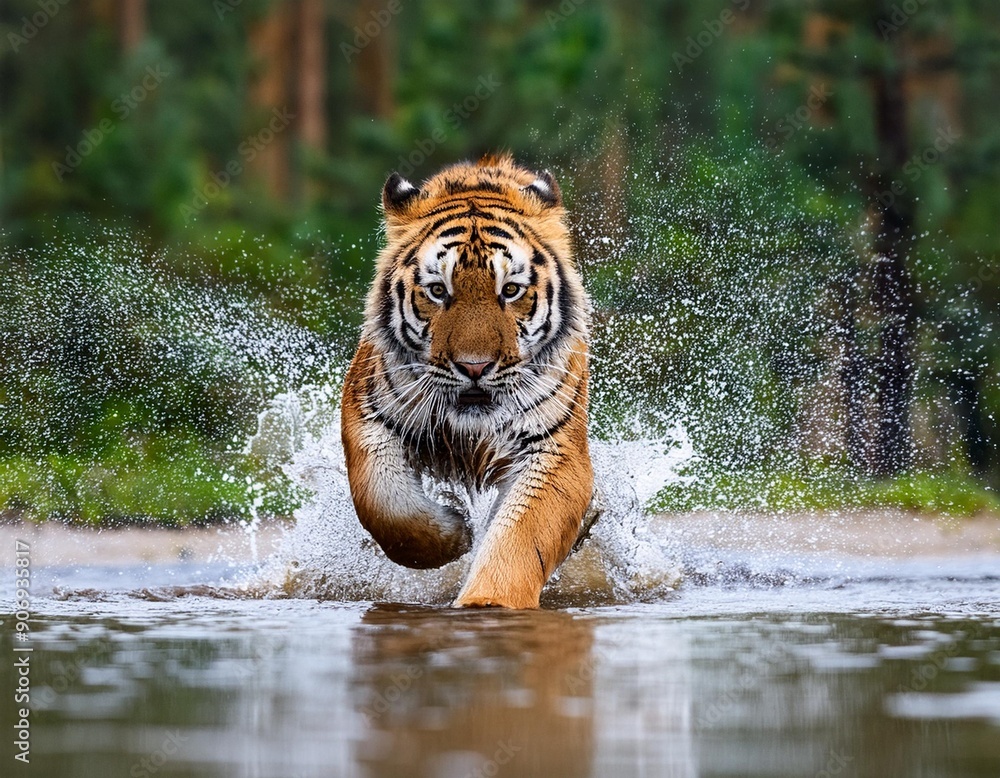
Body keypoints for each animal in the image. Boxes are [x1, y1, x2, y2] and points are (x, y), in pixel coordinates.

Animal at [341, 153, 598, 609]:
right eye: (438, 291)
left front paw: (488, 604)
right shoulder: (366, 412)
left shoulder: (552, 448)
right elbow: (383, 502)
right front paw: (456, 534)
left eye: (510, 290)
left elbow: (521, 534)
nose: (474, 367)